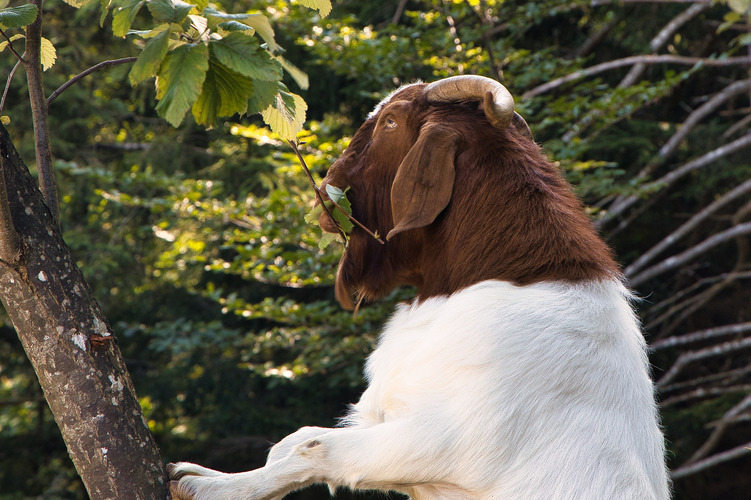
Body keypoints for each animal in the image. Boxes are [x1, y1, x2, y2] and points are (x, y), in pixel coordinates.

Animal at [169, 75, 670, 500]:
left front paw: (209, 485)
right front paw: (206, 472)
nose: (325, 187)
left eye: (391, 122)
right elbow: (296, 441)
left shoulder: (443, 439)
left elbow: (313, 448)